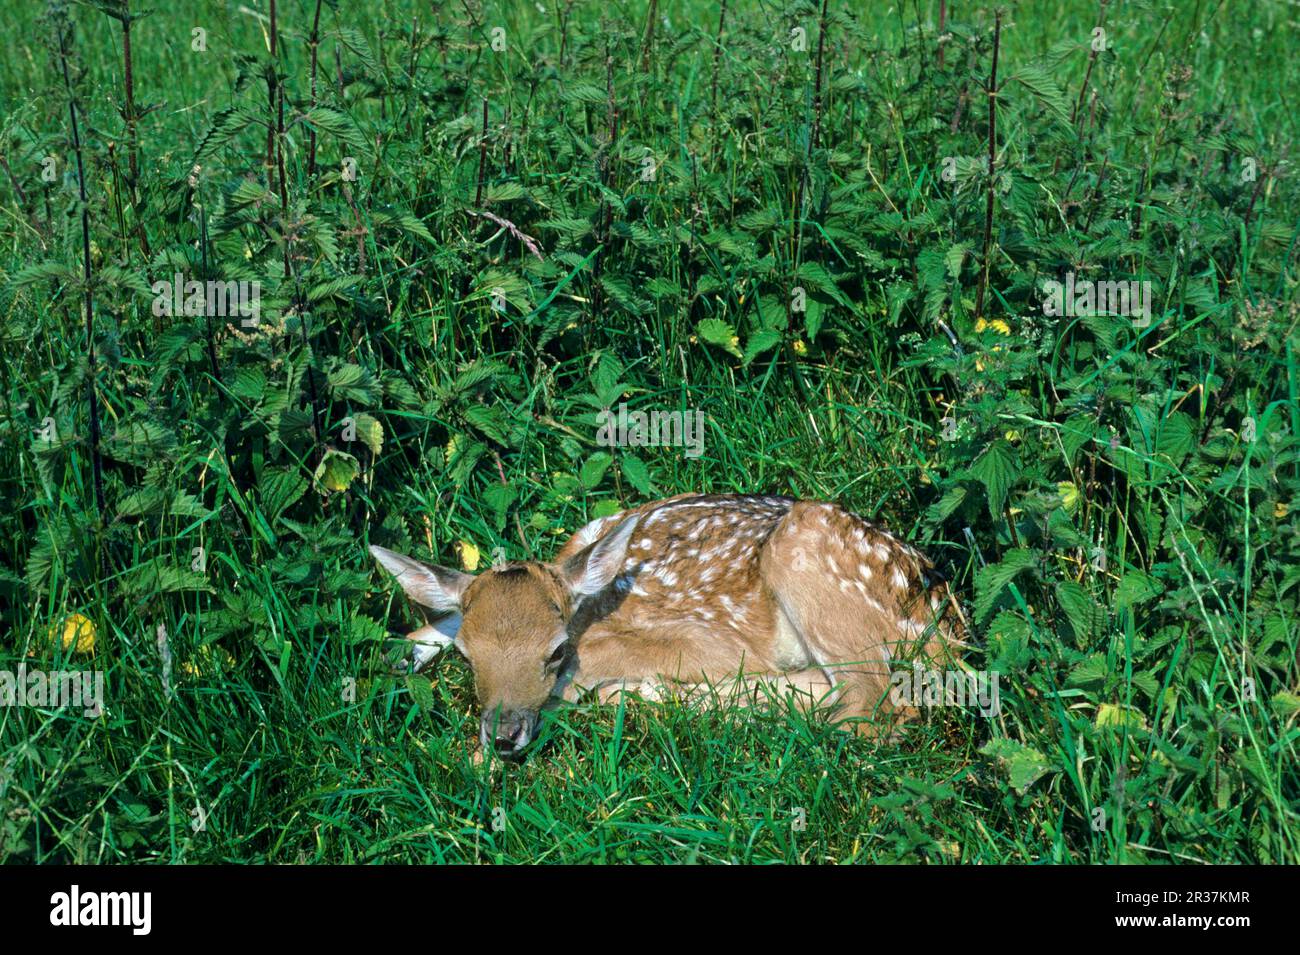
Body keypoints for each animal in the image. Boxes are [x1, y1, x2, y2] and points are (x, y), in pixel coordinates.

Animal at [370, 493, 966, 760]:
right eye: (469, 657)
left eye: (555, 651)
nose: (503, 736)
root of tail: (950, 630)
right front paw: (402, 654)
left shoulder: (718, 637)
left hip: (806, 551)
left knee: (874, 707)